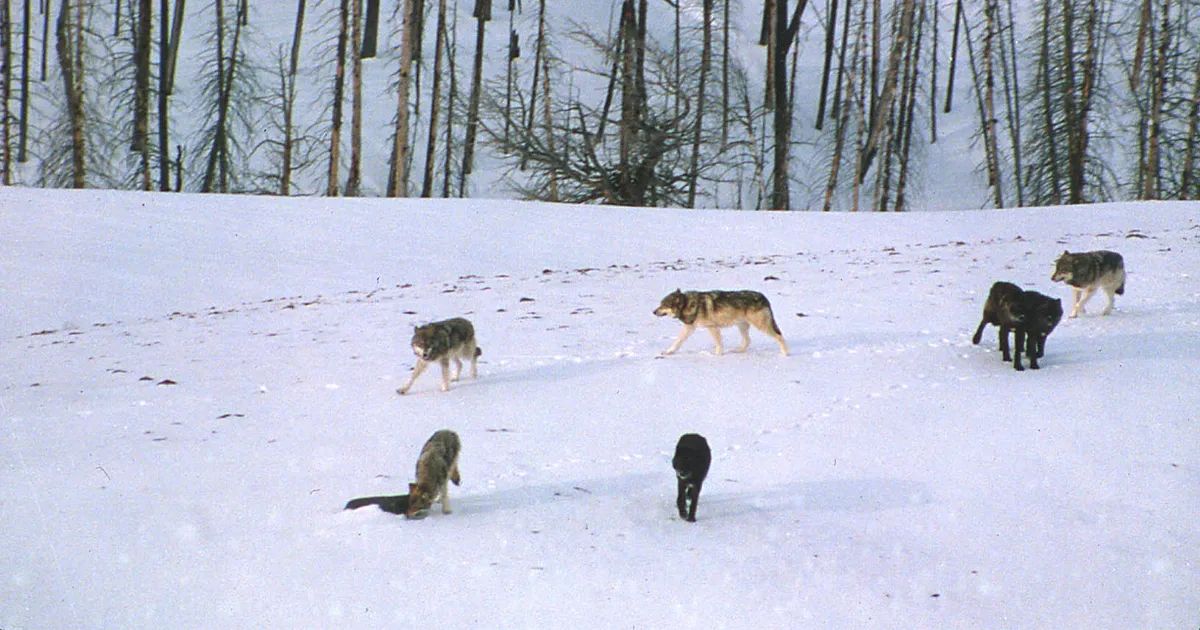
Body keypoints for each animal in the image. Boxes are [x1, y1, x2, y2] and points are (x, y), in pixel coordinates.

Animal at [653, 289, 789, 356]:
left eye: (663, 305)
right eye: (660, 304)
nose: (653, 311)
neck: (688, 303)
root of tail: (764, 297)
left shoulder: (712, 327)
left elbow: (718, 343)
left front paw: (717, 356)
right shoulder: (689, 328)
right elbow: (677, 341)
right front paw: (668, 352)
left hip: (760, 325)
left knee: (779, 336)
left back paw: (785, 353)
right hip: (742, 326)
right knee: (747, 341)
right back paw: (737, 351)